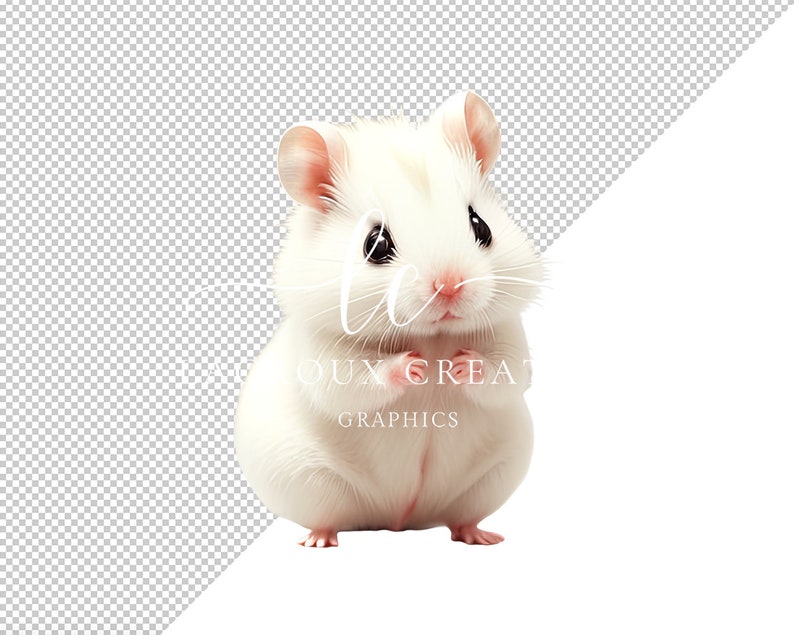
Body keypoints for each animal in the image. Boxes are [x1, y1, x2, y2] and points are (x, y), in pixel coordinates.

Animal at [234, 91, 544, 547]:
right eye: (375, 244)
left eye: (481, 226)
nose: (450, 287)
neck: (432, 335)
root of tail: (399, 519)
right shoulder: (322, 353)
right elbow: (349, 384)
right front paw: (415, 366)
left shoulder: (509, 336)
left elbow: (506, 374)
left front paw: (456, 366)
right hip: (303, 476)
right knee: (327, 515)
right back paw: (318, 540)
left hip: (496, 474)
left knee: (462, 517)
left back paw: (480, 536)